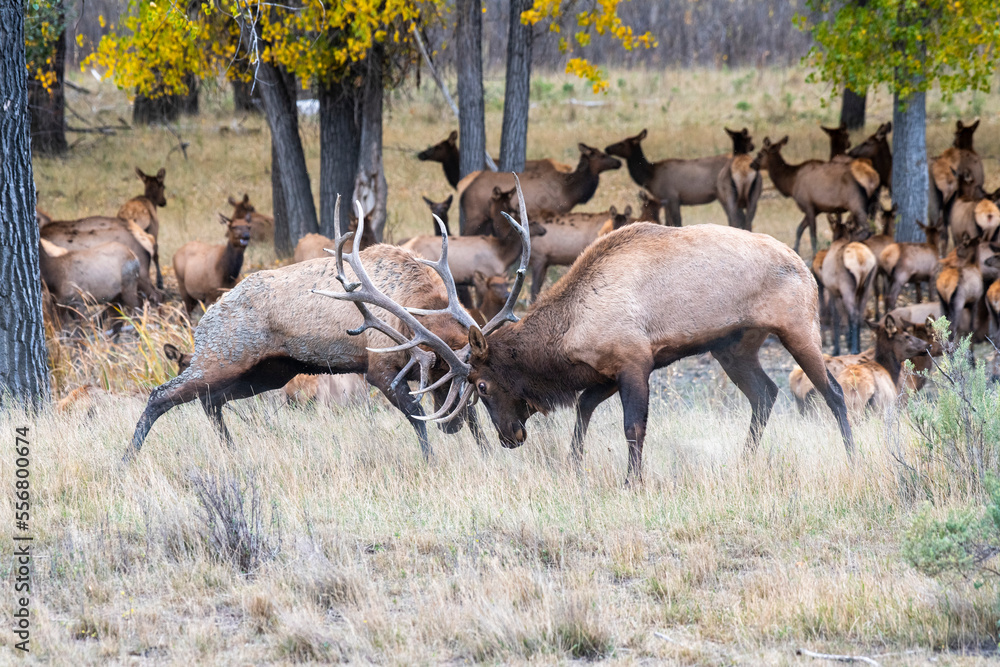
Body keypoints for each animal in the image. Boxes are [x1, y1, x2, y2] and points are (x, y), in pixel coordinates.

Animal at [125, 199, 487, 462]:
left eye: (470, 387)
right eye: (438, 376)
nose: (450, 427)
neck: (419, 305)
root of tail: (206, 318)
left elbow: (473, 421)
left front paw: (485, 454)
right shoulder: (379, 369)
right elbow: (416, 418)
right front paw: (431, 460)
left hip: (268, 371)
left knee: (211, 401)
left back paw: (231, 451)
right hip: (221, 357)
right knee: (162, 394)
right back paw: (128, 458)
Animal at [325, 186, 855, 484]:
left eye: (481, 383)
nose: (510, 438)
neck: (568, 334)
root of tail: (806, 265)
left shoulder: (635, 360)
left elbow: (633, 427)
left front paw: (632, 483)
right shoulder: (601, 371)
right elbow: (581, 412)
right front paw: (574, 467)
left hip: (798, 326)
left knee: (833, 391)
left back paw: (853, 457)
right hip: (735, 346)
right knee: (765, 393)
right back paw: (744, 463)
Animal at [459, 144, 621, 235]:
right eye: (602, 155)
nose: (618, 162)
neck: (569, 192)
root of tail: (463, 190)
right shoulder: (552, 211)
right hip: (474, 216)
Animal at [751, 136, 880, 256]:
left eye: (760, 154)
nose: (751, 164)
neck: (791, 183)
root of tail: (873, 178)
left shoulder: (808, 205)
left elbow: (812, 234)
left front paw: (814, 254)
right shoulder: (816, 209)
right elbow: (799, 229)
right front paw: (796, 249)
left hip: (856, 203)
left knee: (868, 228)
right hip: (873, 204)